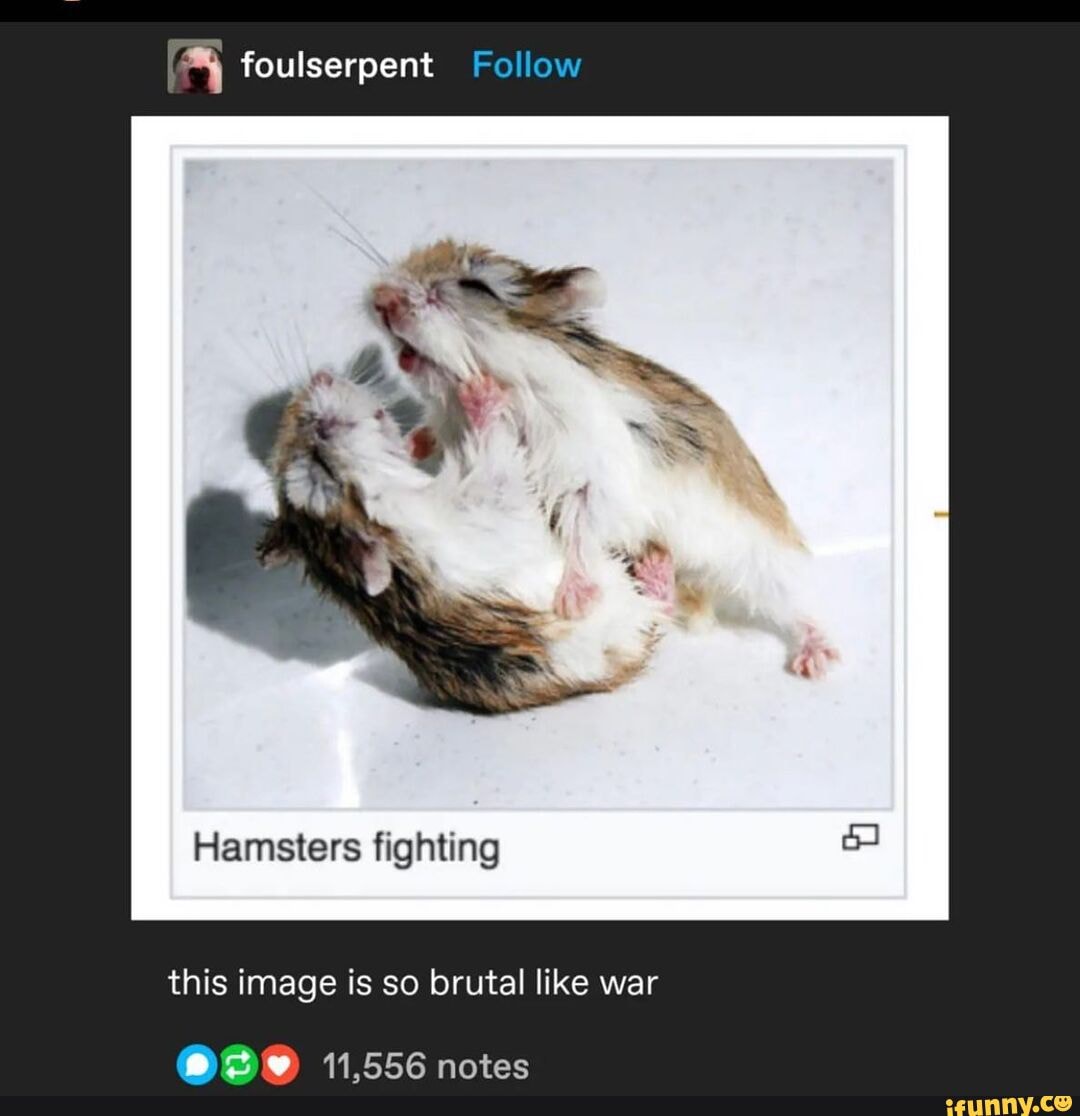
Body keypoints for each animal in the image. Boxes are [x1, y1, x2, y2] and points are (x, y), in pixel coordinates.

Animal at [256, 369, 665, 713]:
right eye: (320, 455)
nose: (320, 376)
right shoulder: (490, 503)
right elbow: (490, 454)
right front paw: (477, 393)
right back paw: (654, 571)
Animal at [368, 240, 840, 679]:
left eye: (477, 286)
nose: (380, 297)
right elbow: (433, 435)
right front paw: (406, 443)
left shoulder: (591, 474)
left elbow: (581, 530)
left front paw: (573, 604)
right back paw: (658, 573)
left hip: (766, 565)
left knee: (802, 608)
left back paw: (815, 661)